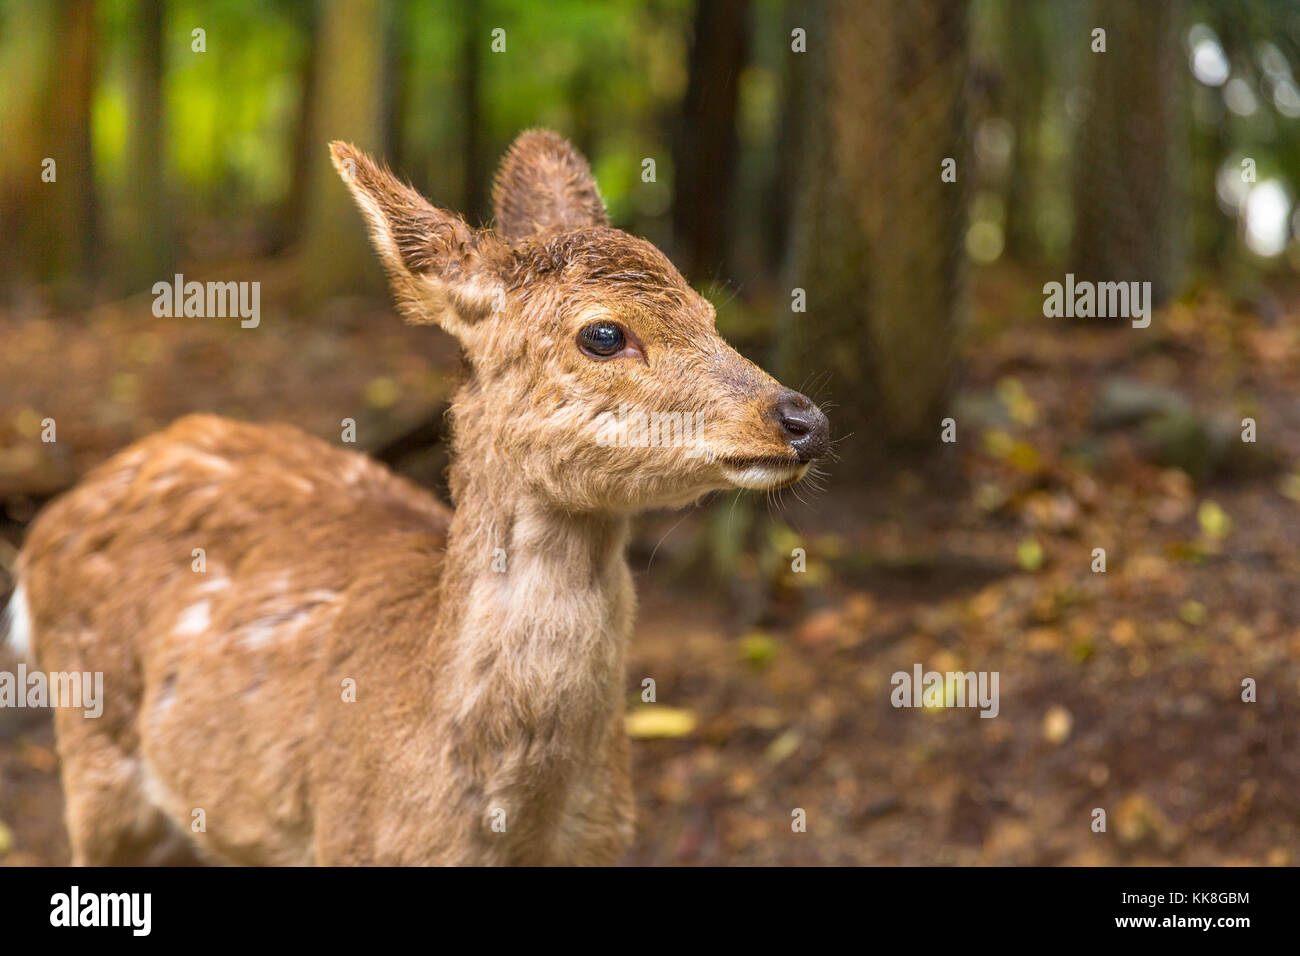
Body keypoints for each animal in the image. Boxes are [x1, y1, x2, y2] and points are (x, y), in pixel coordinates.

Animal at [2, 130, 829, 865]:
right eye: (603, 334)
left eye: (711, 314)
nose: (802, 419)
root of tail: (53, 520)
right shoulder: (346, 838)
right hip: (96, 750)